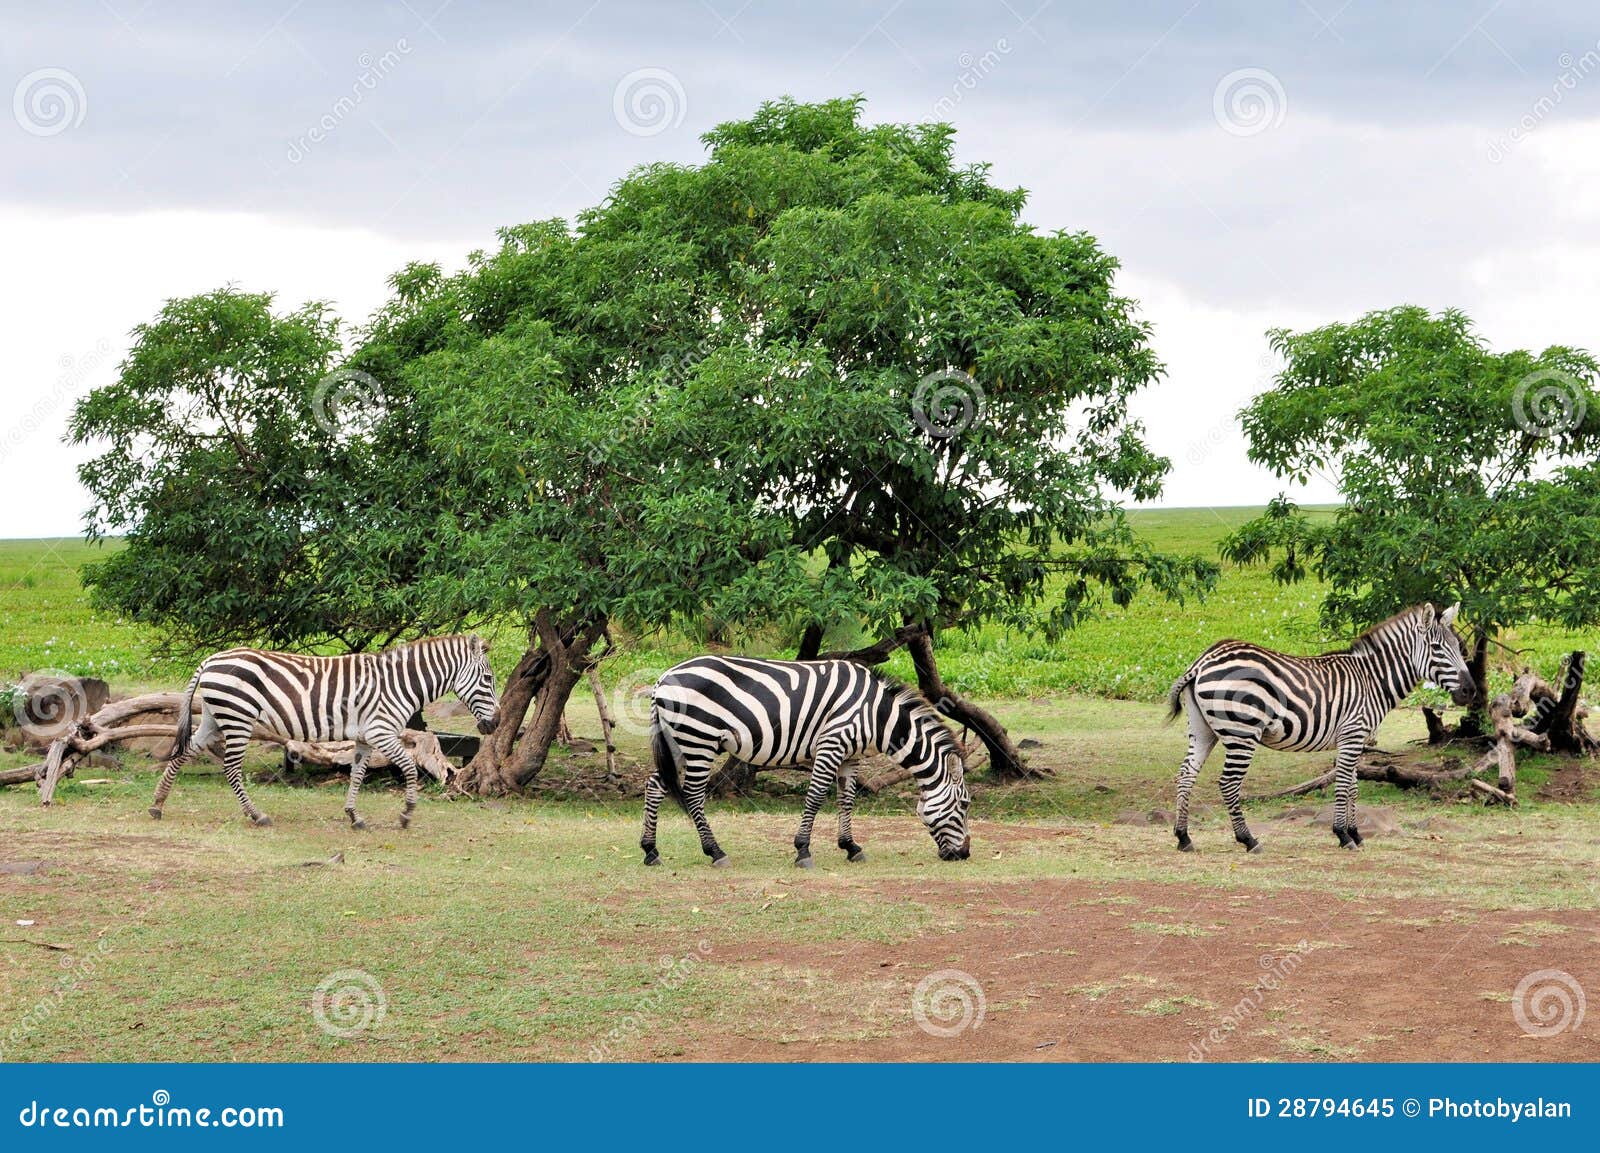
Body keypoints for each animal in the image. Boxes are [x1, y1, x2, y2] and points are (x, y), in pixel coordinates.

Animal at [149, 634, 500, 829]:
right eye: (488, 679)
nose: (496, 723)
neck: (397, 683)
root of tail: (210, 659)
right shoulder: (382, 731)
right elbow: (410, 768)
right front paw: (406, 814)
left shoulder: (364, 737)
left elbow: (357, 774)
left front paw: (354, 816)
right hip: (238, 717)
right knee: (231, 768)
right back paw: (257, 815)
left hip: (214, 717)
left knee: (183, 754)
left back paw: (157, 804)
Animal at [640, 656, 972, 867]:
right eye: (965, 804)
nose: (965, 854)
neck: (877, 715)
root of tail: (662, 679)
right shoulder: (832, 744)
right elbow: (815, 797)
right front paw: (802, 851)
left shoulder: (850, 756)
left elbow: (846, 800)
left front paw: (851, 846)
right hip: (700, 739)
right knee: (694, 795)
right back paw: (715, 852)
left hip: (678, 742)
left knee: (655, 785)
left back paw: (650, 850)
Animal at [1167, 603, 1474, 852]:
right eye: (1437, 649)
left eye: (1459, 648)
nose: (1470, 691)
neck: (1373, 680)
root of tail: (1202, 660)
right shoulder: (1353, 734)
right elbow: (1343, 786)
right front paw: (1343, 835)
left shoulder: (1357, 739)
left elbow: (1354, 787)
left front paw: (1356, 833)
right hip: (1242, 732)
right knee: (1229, 782)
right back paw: (1248, 839)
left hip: (1203, 730)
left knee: (1186, 775)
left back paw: (1184, 837)